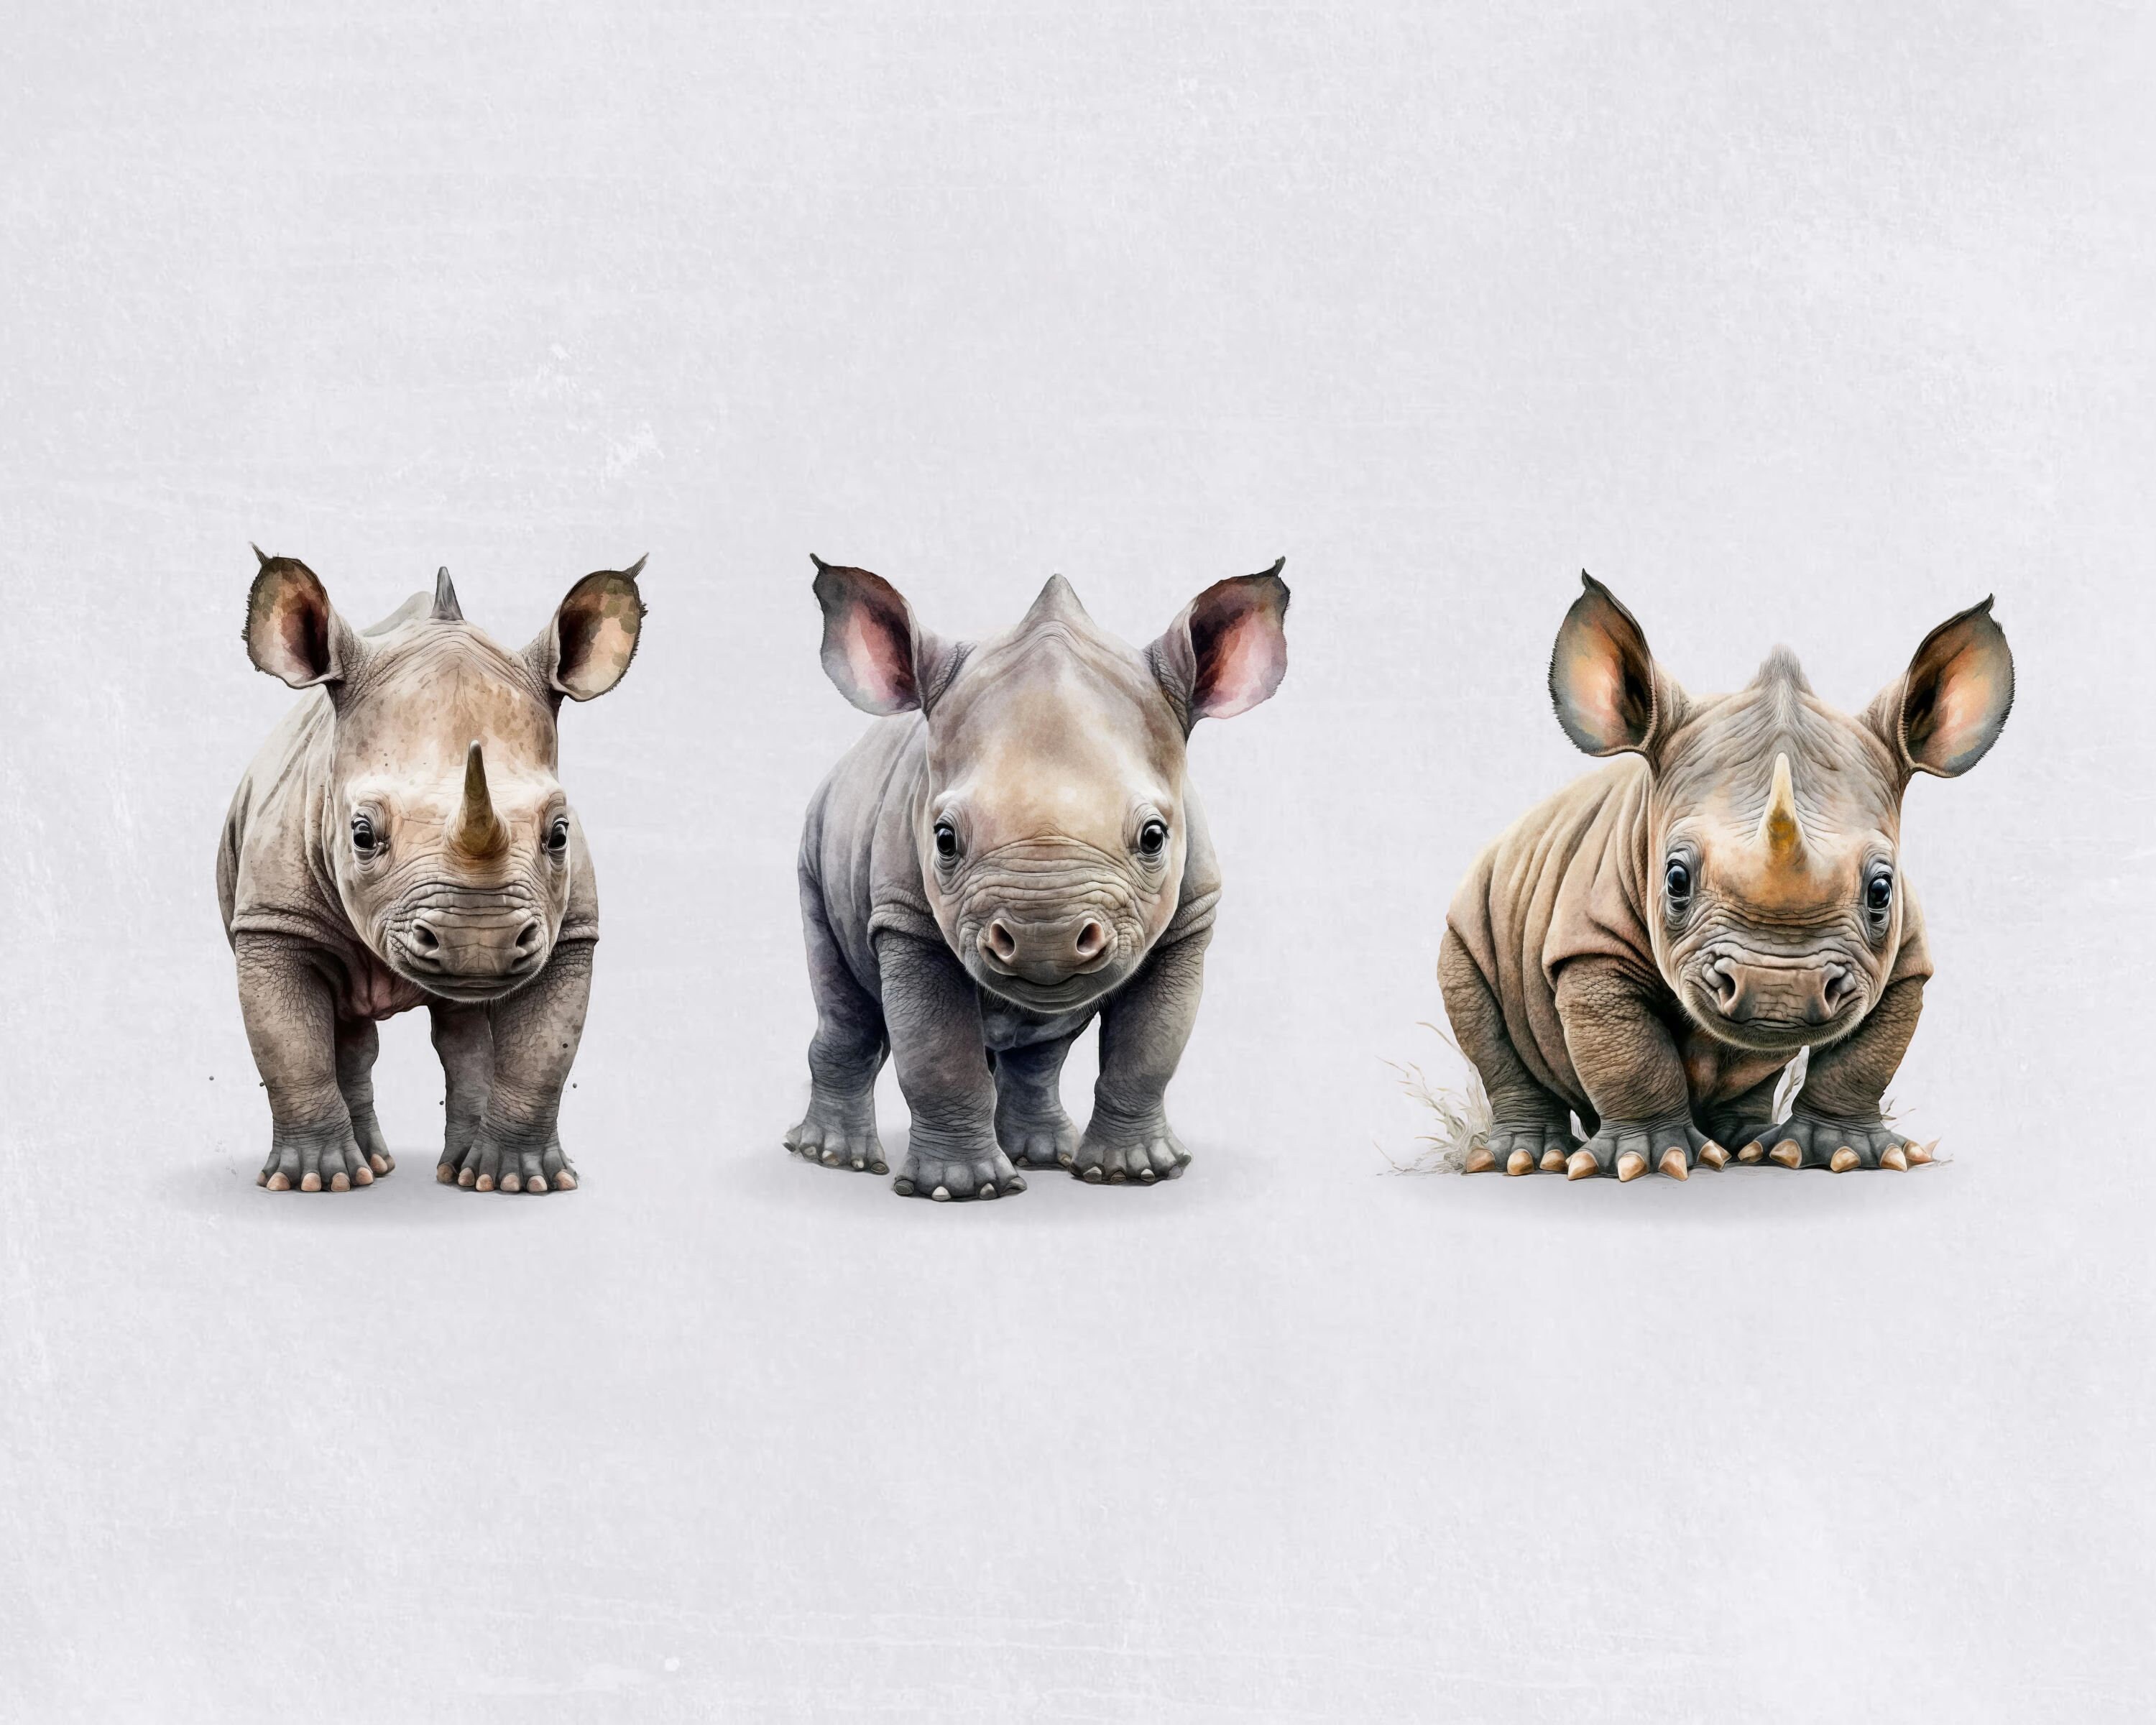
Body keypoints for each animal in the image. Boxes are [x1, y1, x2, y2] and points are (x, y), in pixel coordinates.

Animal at [216, 550, 644, 1194]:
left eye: (560, 834)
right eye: (361, 835)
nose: (478, 943)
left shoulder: (570, 930)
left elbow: (543, 1054)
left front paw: (524, 1181)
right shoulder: (274, 921)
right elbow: (292, 1049)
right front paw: (315, 1181)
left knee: (461, 1035)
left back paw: (463, 1173)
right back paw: (368, 1170)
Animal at [787, 556, 1289, 1201]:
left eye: (1155, 837)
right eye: (943, 839)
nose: (1043, 939)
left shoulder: (1190, 917)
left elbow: (1148, 1051)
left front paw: (1136, 1173)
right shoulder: (905, 916)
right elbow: (937, 1053)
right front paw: (961, 1190)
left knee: (1039, 1045)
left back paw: (1045, 1156)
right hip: (817, 834)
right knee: (845, 1004)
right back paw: (833, 1158)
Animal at [1441, 574, 2013, 1180]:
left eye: (1881, 890)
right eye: (1675, 880)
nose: (1779, 994)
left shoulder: (1905, 959)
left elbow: (1865, 1058)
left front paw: (1846, 1151)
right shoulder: (1589, 940)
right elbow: (1630, 1052)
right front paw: (1650, 1157)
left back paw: (1754, 1145)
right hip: (1470, 914)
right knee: (1481, 1011)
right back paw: (1530, 1157)